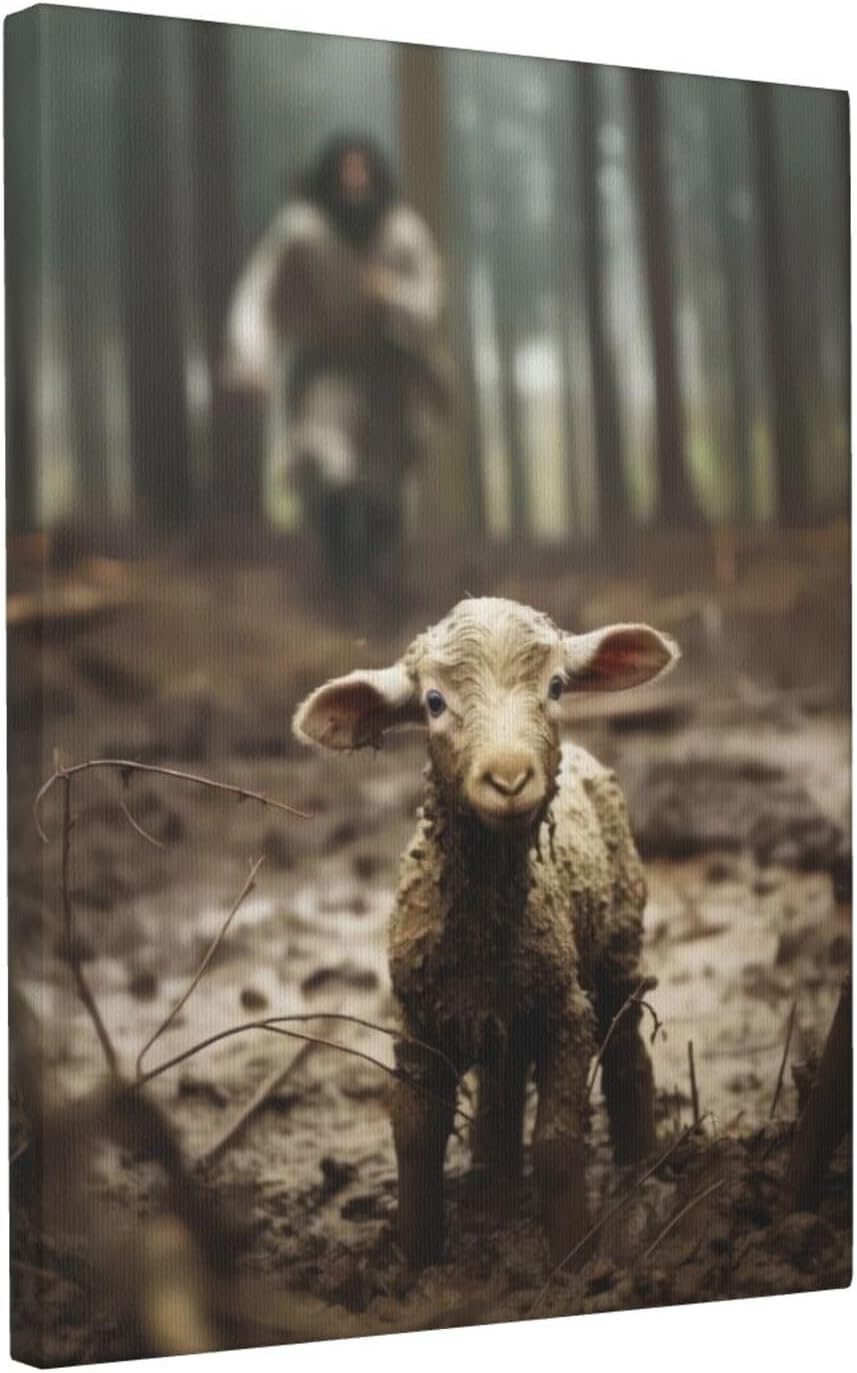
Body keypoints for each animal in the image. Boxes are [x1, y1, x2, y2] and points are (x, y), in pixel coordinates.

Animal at [293, 597, 678, 1269]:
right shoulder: (418, 1022)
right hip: (504, 1012)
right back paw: (491, 1193)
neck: (480, 931)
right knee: (500, 1085)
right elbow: (414, 1139)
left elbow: (557, 1145)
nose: (508, 778)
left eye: (556, 686)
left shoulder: (565, 1012)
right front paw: (415, 1259)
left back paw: (639, 1165)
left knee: (627, 1044)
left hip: (617, 942)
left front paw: (575, 1260)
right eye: (433, 702)